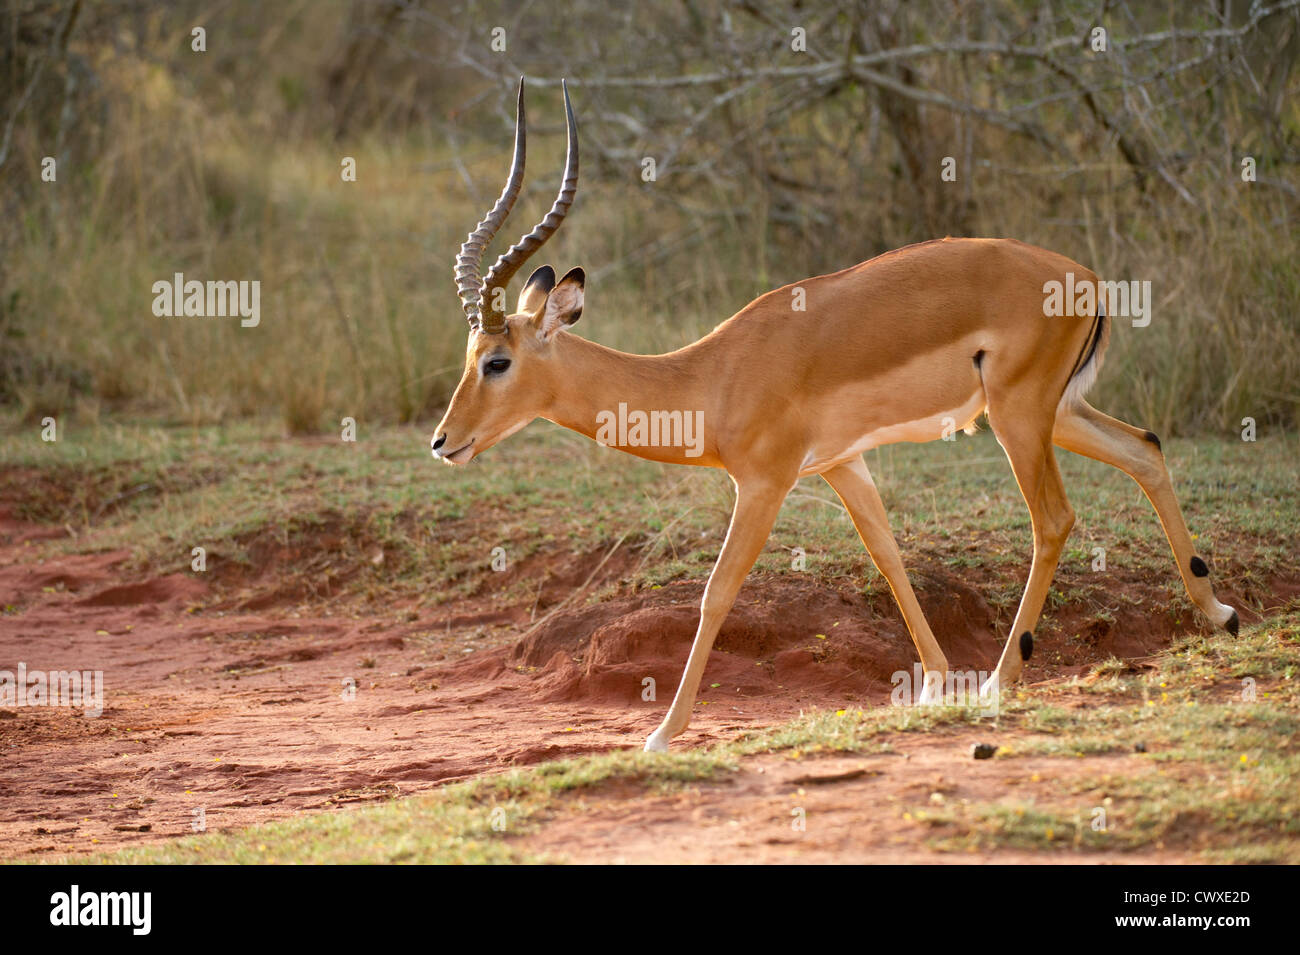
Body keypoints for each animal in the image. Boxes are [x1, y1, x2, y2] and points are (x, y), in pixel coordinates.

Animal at [434, 79, 1240, 752]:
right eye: (469, 352)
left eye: (497, 360)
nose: (443, 442)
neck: (708, 377)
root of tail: (1087, 279)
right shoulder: (843, 464)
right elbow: (888, 555)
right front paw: (933, 686)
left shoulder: (764, 484)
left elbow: (717, 590)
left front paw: (662, 734)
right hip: (1054, 411)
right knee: (1145, 447)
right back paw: (1221, 614)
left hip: (1018, 417)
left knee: (1055, 517)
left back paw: (1001, 680)